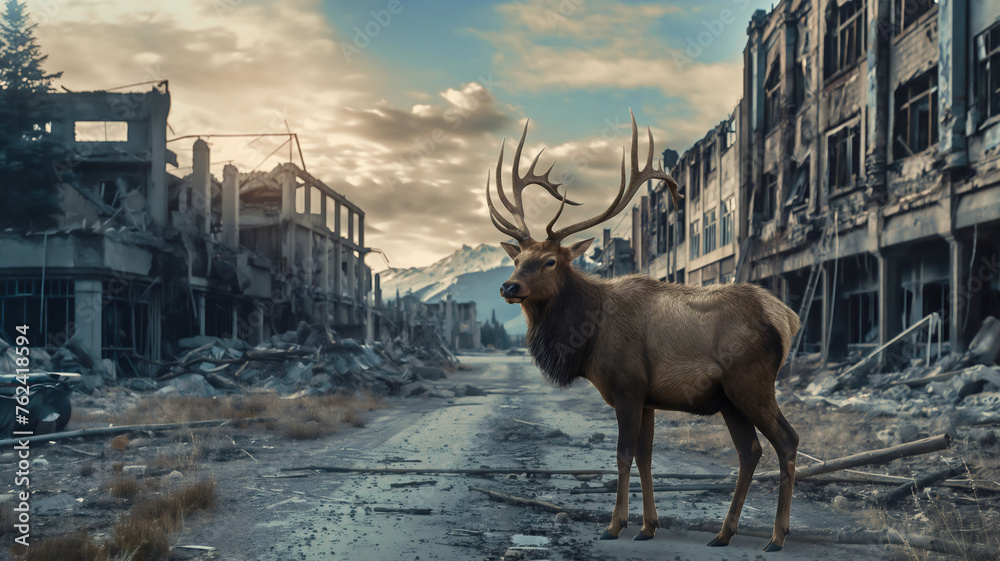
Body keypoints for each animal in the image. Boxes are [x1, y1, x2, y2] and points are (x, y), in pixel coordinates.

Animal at [485, 111, 801, 552]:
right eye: (518, 260)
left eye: (550, 261)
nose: (508, 287)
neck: (587, 340)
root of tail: (788, 318)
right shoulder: (648, 397)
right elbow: (645, 457)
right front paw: (649, 525)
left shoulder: (628, 386)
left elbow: (622, 455)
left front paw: (614, 524)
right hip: (729, 399)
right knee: (750, 451)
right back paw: (724, 532)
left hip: (751, 383)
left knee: (787, 441)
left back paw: (777, 536)